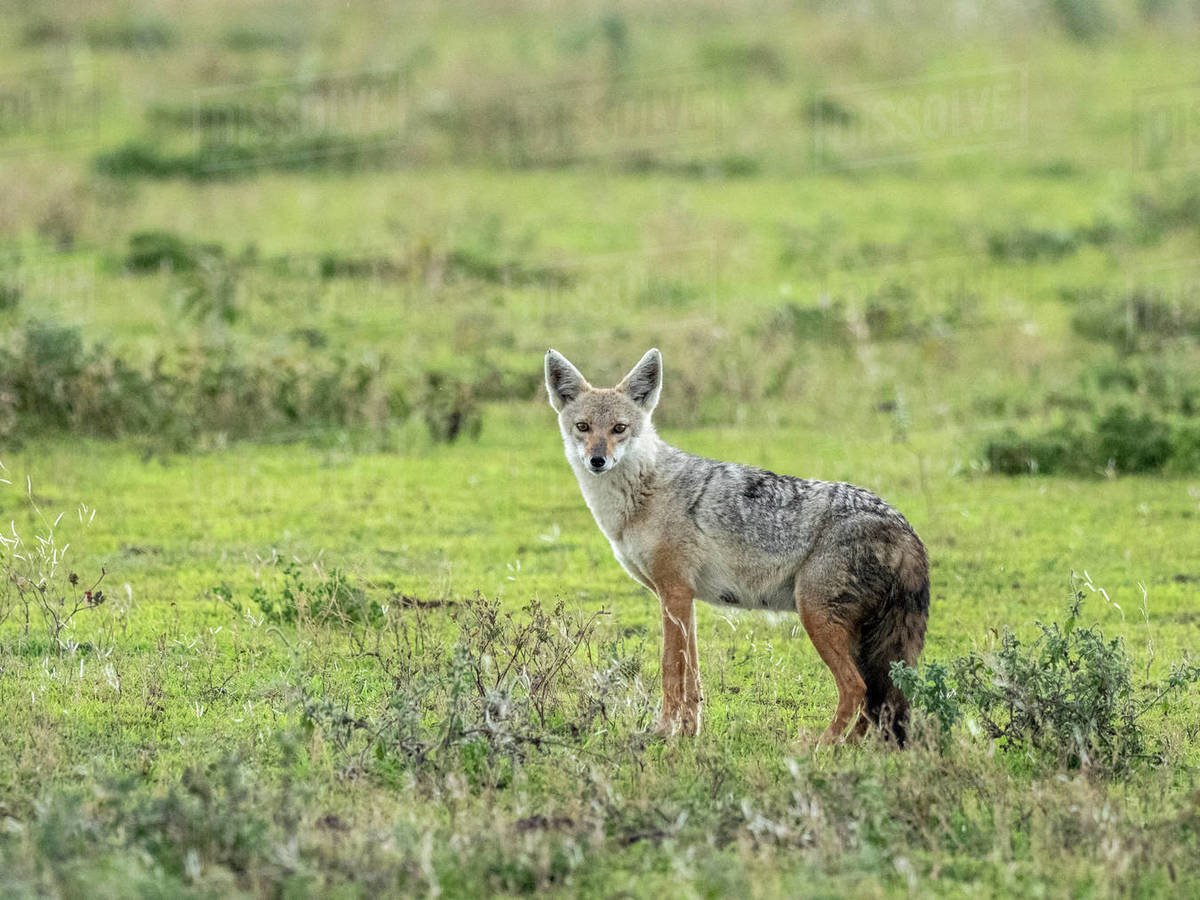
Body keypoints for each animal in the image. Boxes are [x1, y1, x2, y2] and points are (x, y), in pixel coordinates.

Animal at [544, 348, 929, 745]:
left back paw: (818, 747)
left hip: (816, 619)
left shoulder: (673, 593)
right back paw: (849, 748)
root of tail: (904, 525)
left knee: (857, 689)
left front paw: (662, 732)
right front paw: (689, 734)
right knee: (874, 701)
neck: (640, 495)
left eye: (619, 428)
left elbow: (670, 670)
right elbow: (693, 677)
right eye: (583, 427)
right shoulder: (683, 599)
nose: (597, 460)